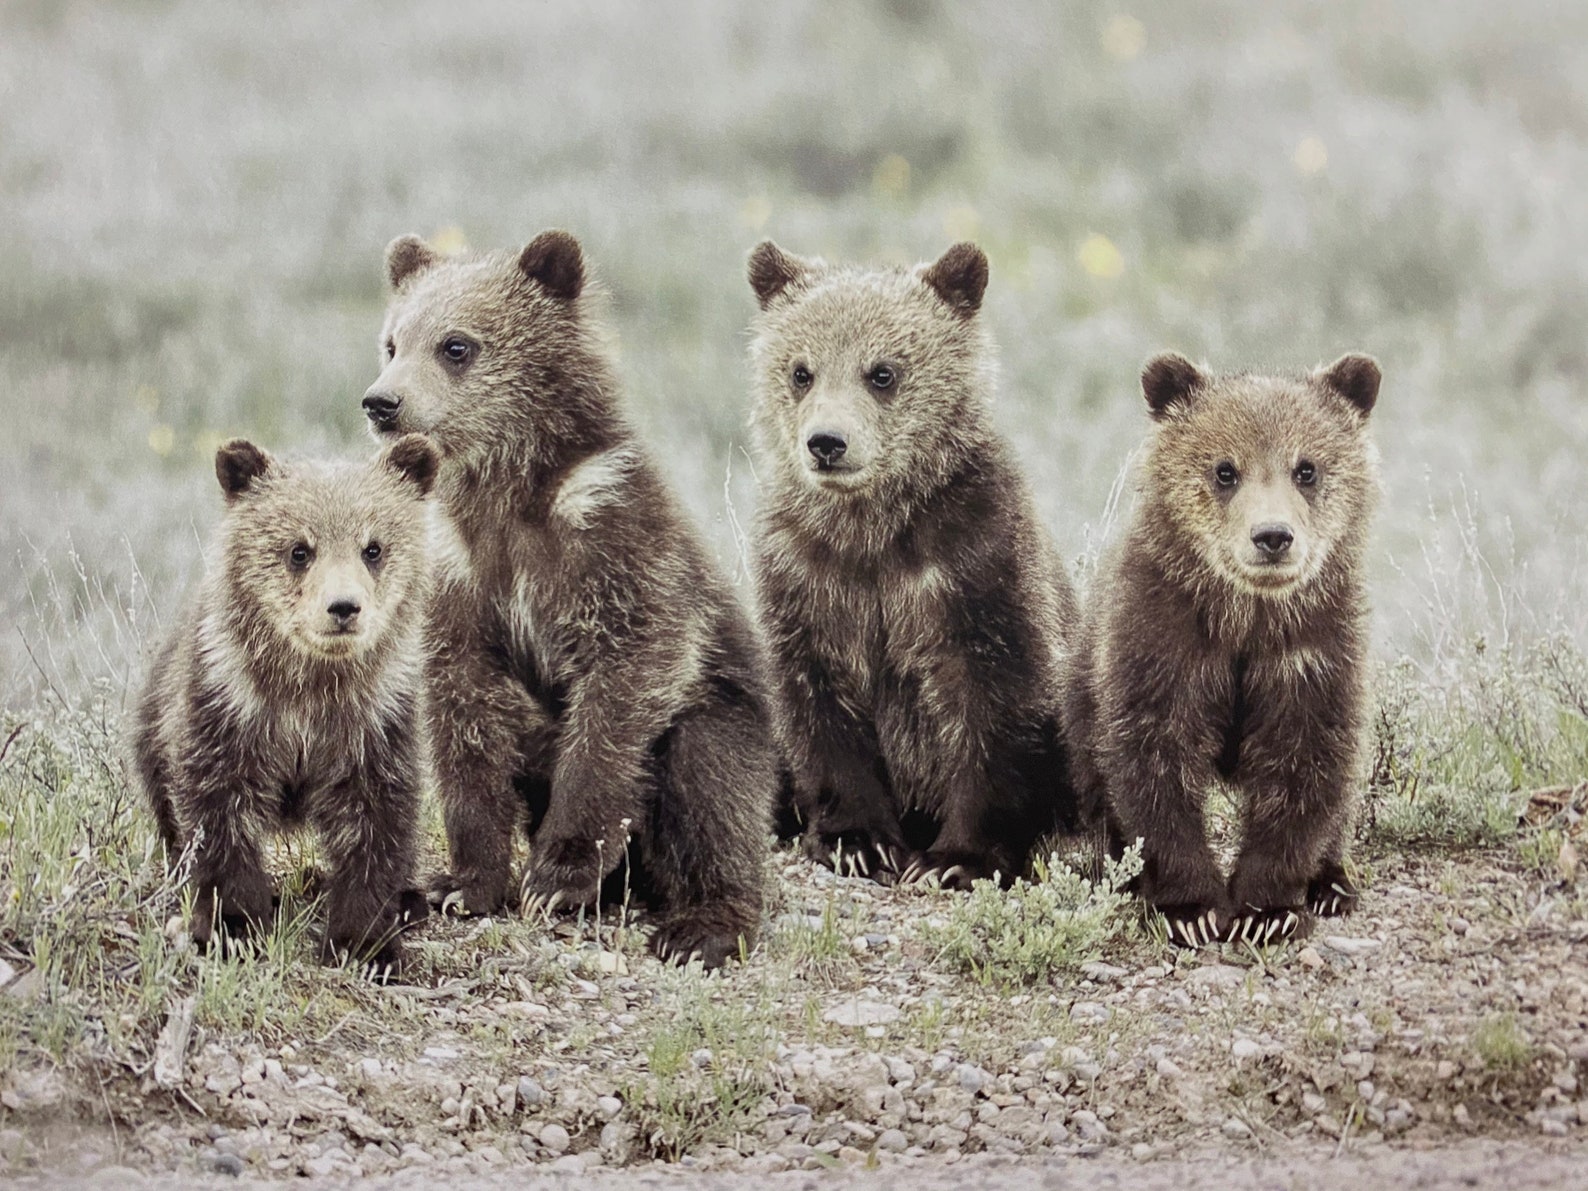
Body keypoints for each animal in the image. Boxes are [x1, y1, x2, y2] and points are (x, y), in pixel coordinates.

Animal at [132, 434, 439, 975]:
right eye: (299, 549)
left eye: (373, 547)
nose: (343, 607)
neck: (308, 693)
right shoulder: (227, 708)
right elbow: (218, 819)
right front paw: (234, 926)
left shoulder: (376, 721)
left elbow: (377, 822)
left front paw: (365, 943)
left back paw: (411, 899)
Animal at [362, 229, 776, 968]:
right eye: (392, 341)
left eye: (456, 345)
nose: (381, 403)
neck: (506, 492)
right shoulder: (462, 576)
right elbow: (465, 719)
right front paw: (464, 881)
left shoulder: (613, 546)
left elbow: (623, 690)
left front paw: (558, 873)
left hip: (728, 712)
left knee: (713, 786)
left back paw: (703, 924)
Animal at [745, 240, 1079, 889]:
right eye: (801, 370)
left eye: (882, 371)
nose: (827, 442)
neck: (873, 533)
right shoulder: (805, 576)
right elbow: (819, 705)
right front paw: (856, 841)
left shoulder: (975, 565)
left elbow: (997, 705)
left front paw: (957, 858)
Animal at [1065, 351, 1382, 947]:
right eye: (1224, 470)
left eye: (1306, 468)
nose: (1272, 536)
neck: (1246, 617)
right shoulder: (1163, 640)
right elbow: (1154, 763)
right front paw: (1190, 909)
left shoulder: (1313, 650)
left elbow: (1306, 766)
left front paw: (1269, 910)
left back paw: (1332, 883)